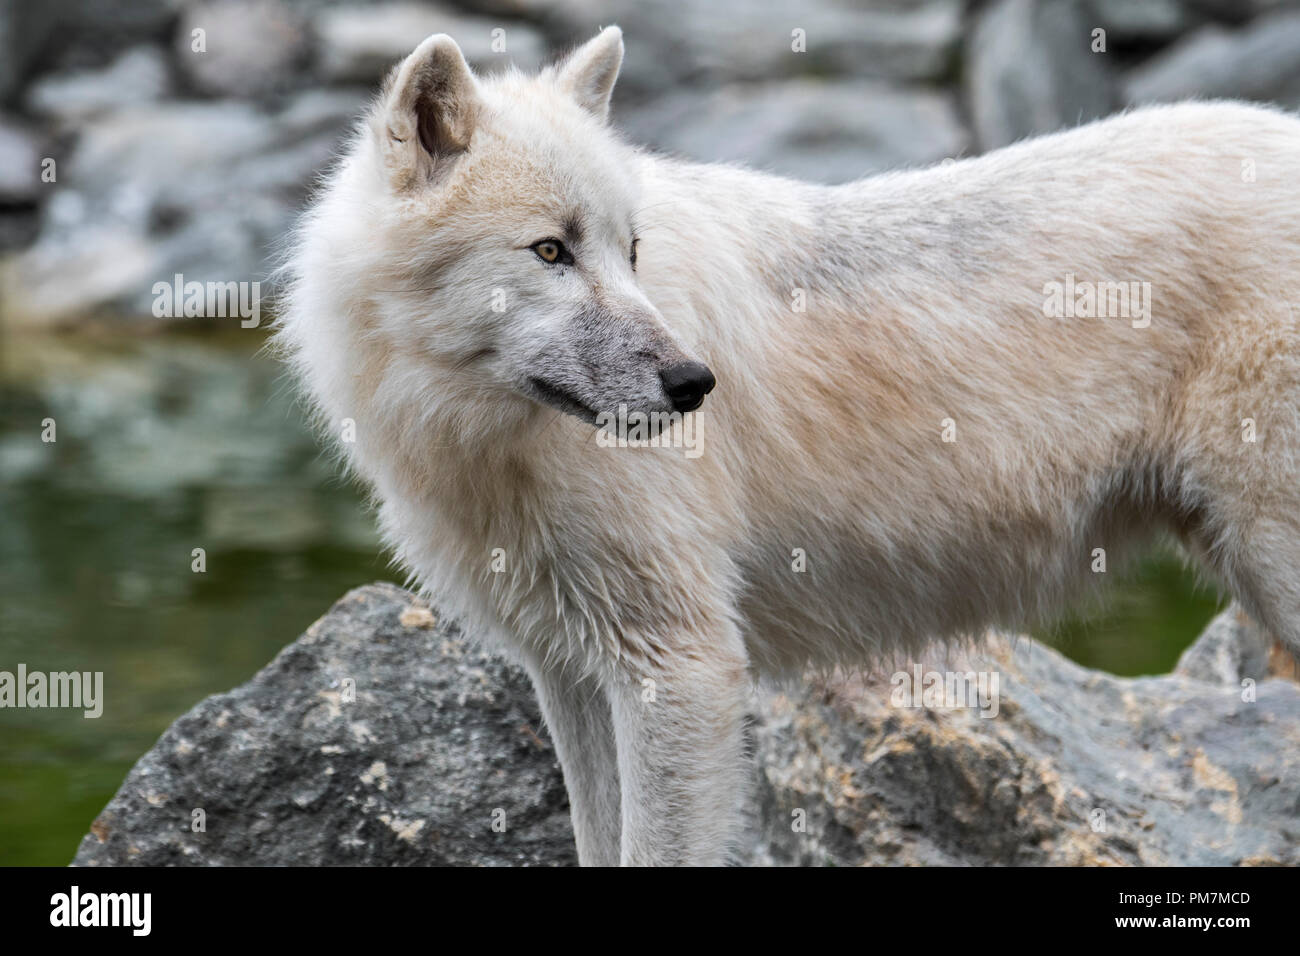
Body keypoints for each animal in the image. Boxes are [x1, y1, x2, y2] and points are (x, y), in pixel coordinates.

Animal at [276, 27, 1300, 865]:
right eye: (551, 252)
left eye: (631, 250)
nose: (693, 383)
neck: (481, 443)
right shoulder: (569, 672)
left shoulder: (680, 669)